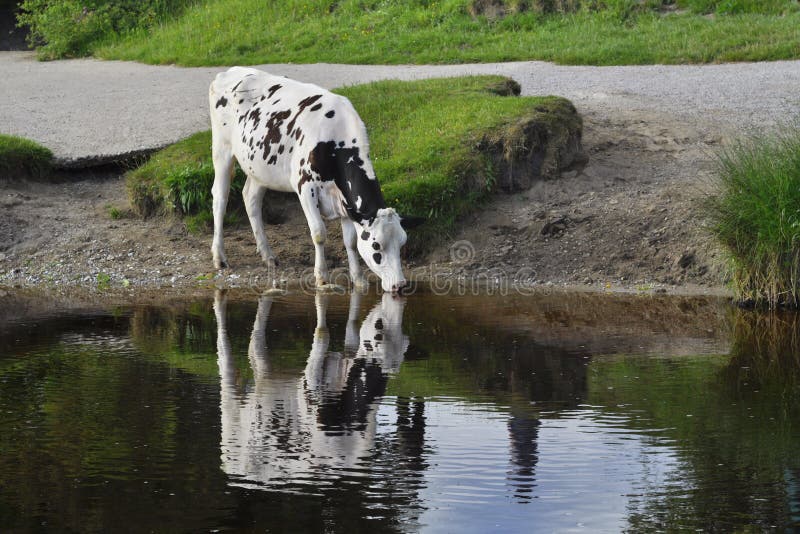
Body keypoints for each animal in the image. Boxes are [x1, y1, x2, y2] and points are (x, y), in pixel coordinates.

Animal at [209, 67, 422, 293]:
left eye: (402, 243)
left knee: (251, 198)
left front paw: (359, 279)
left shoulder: (345, 201)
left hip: (259, 166)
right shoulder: (305, 187)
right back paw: (219, 257)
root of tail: (231, 71)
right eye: (376, 246)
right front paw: (322, 277)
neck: (334, 140)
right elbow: (319, 232)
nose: (399, 285)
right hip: (222, 150)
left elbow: (351, 241)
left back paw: (268, 256)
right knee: (220, 198)